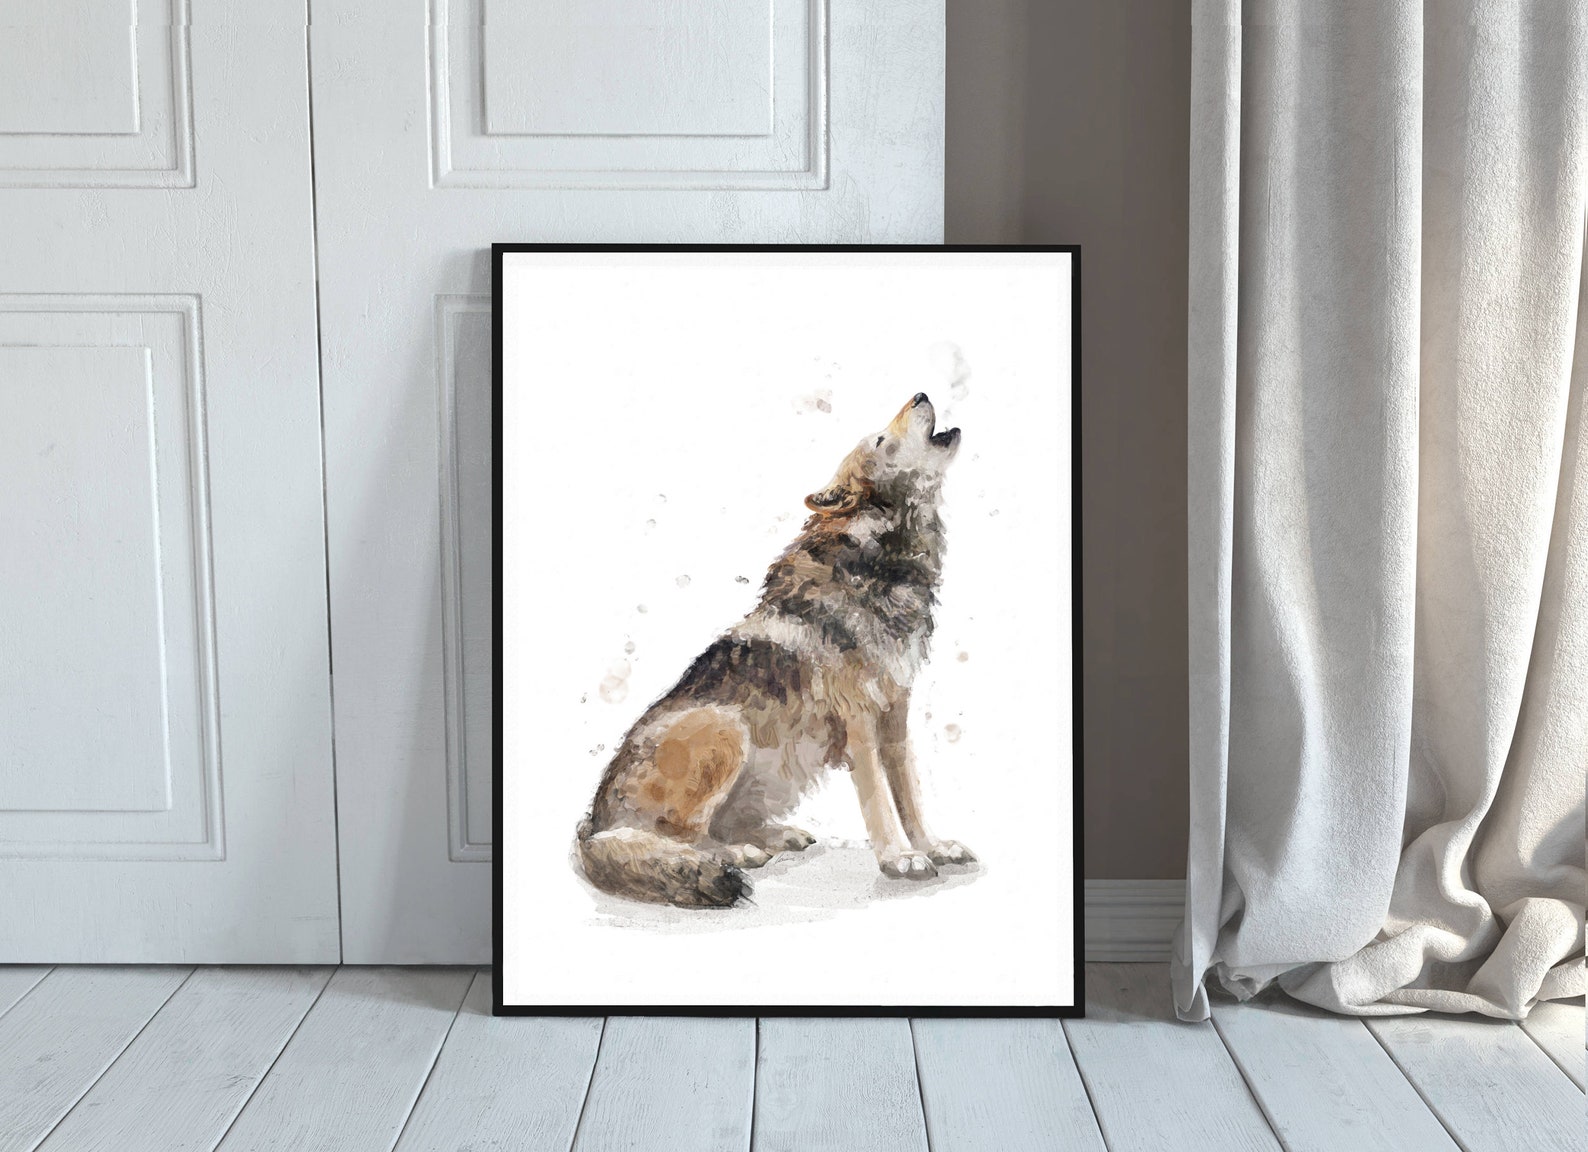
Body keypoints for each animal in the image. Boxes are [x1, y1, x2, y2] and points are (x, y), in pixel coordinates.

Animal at [575, 392, 975, 908]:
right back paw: (736, 856)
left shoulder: (896, 715)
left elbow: (910, 797)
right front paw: (898, 859)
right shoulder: (859, 722)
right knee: (674, 839)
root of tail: (591, 826)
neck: (877, 561)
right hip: (726, 728)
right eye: (881, 440)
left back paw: (773, 838)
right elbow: (879, 803)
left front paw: (932, 846)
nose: (921, 394)